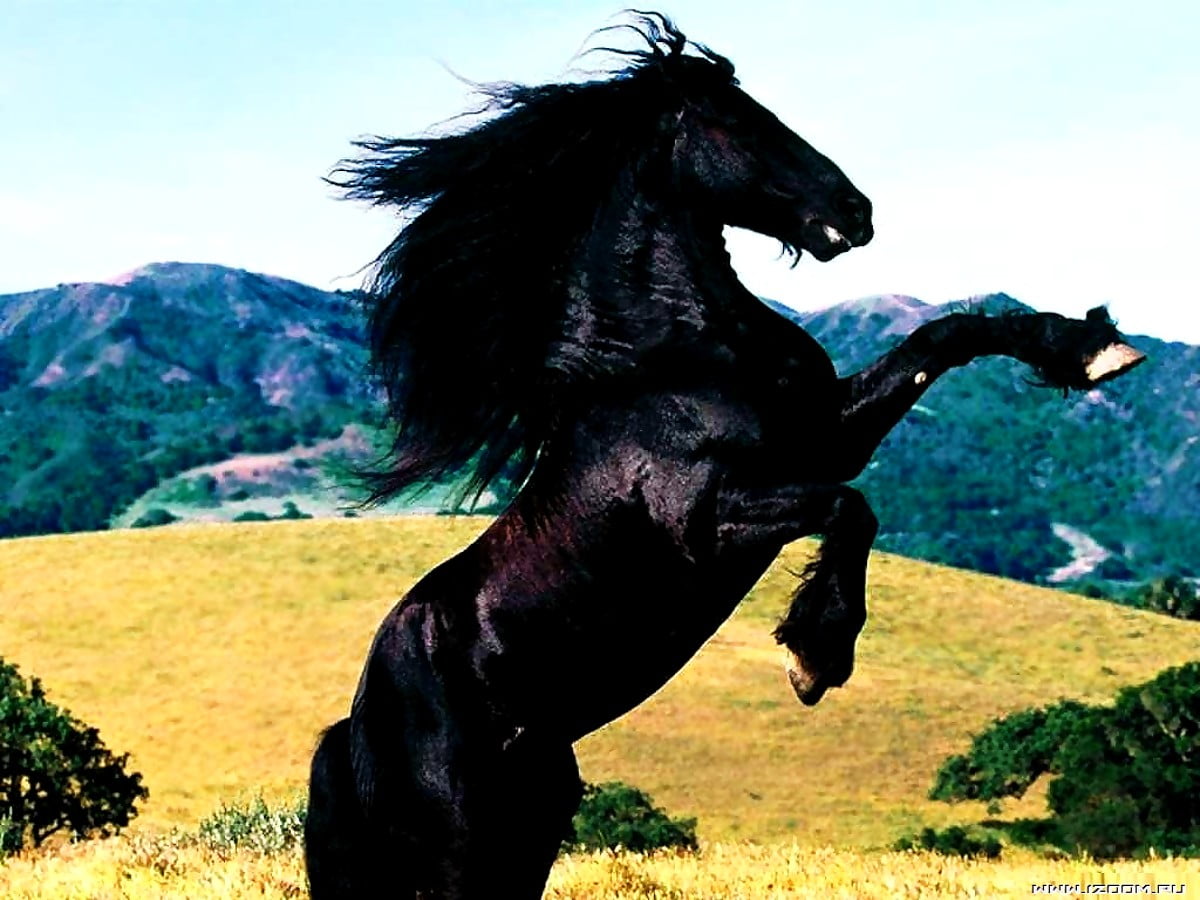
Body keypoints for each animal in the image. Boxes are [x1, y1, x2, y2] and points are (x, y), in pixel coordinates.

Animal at [305, 14, 1144, 898]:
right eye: (739, 123)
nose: (854, 210)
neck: (670, 357)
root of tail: (352, 729)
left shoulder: (830, 435)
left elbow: (944, 337)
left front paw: (1091, 349)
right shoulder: (713, 518)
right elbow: (850, 507)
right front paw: (815, 655)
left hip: (526, 829)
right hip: (459, 845)